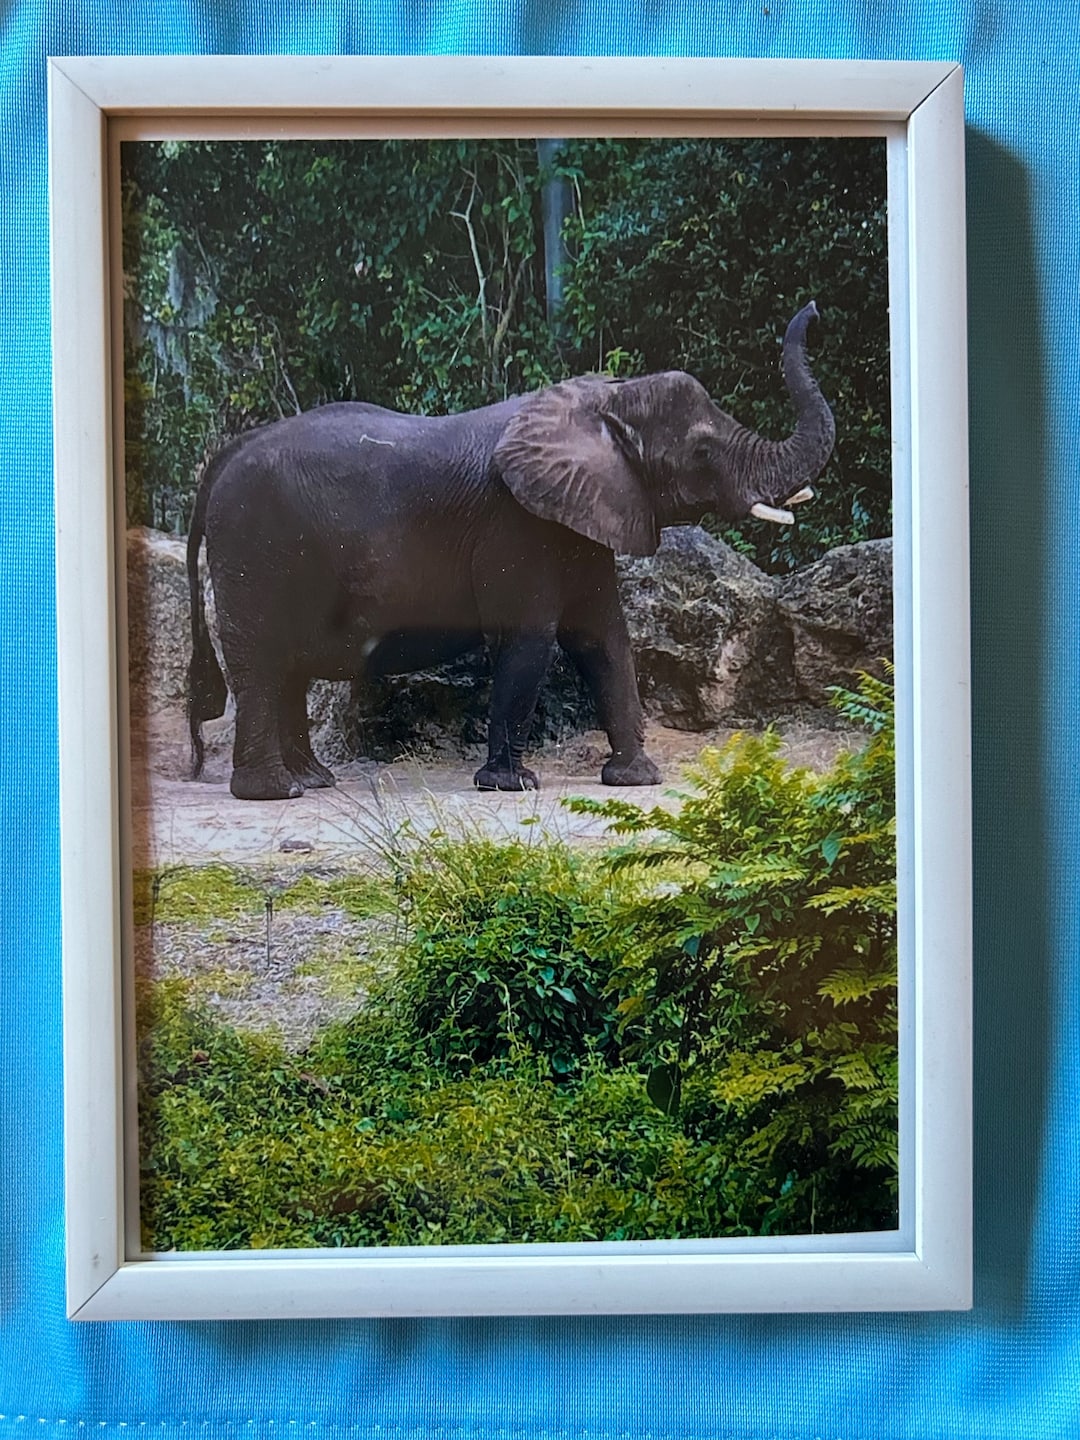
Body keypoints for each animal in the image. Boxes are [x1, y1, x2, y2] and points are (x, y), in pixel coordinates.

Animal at [186, 301, 835, 800]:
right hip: (255, 546)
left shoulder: (578, 517)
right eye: (702, 452)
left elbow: (605, 638)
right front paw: (512, 785)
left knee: (287, 667)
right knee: (263, 660)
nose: (813, 310)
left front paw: (636, 779)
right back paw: (276, 792)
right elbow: (532, 640)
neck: (603, 403)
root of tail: (222, 458)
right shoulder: (516, 523)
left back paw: (313, 781)